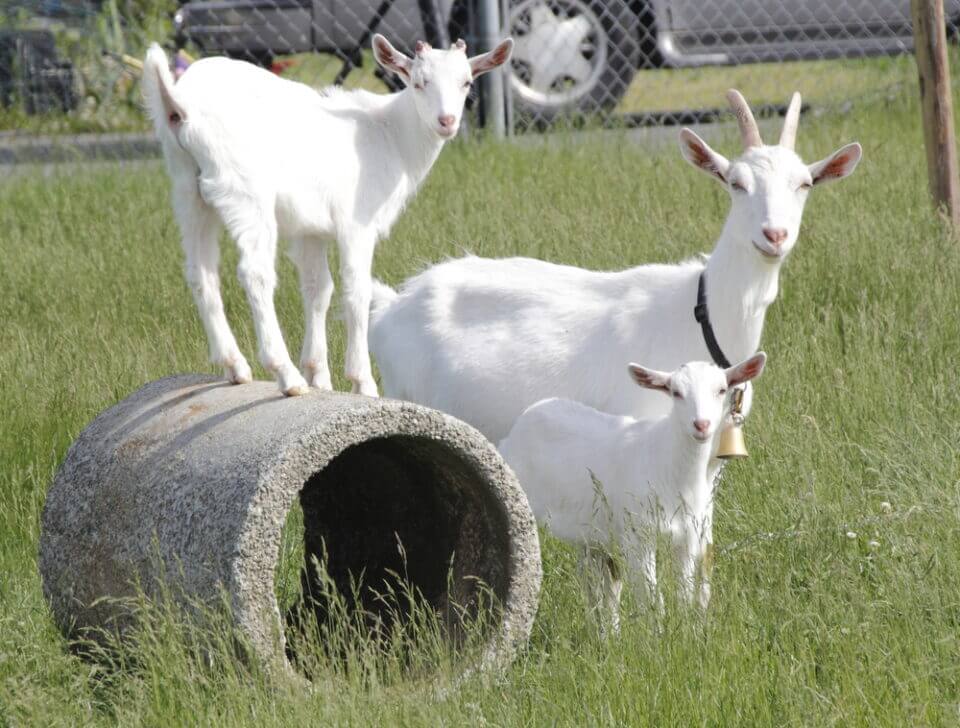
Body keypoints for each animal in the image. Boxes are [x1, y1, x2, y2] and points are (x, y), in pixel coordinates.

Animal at [142, 35, 513, 396]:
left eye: (466, 82)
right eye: (419, 82)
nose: (446, 122)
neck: (390, 134)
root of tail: (181, 105)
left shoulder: (311, 229)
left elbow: (318, 289)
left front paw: (319, 375)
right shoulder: (356, 223)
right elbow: (356, 289)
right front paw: (362, 382)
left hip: (189, 191)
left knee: (201, 272)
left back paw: (235, 367)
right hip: (245, 191)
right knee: (254, 273)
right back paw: (286, 375)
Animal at [498, 353, 766, 627]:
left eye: (721, 390)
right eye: (676, 392)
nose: (701, 425)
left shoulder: (689, 536)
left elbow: (684, 594)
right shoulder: (638, 534)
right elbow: (651, 600)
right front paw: (657, 634)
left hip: (591, 532)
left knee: (596, 582)